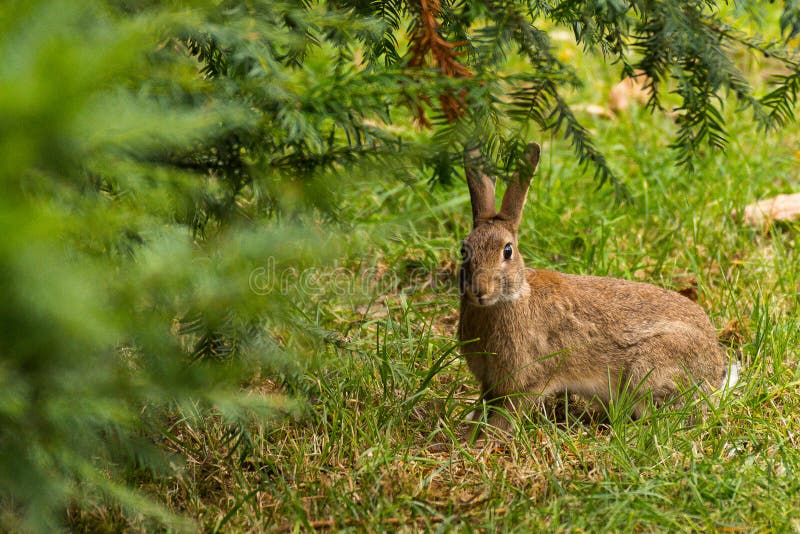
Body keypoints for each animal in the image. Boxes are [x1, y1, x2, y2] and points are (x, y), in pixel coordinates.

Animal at [458, 142, 732, 433]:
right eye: (464, 249)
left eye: (507, 251)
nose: (479, 290)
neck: (511, 298)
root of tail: (715, 369)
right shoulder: (489, 382)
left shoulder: (528, 378)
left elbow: (506, 413)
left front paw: (485, 438)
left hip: (649, 370)